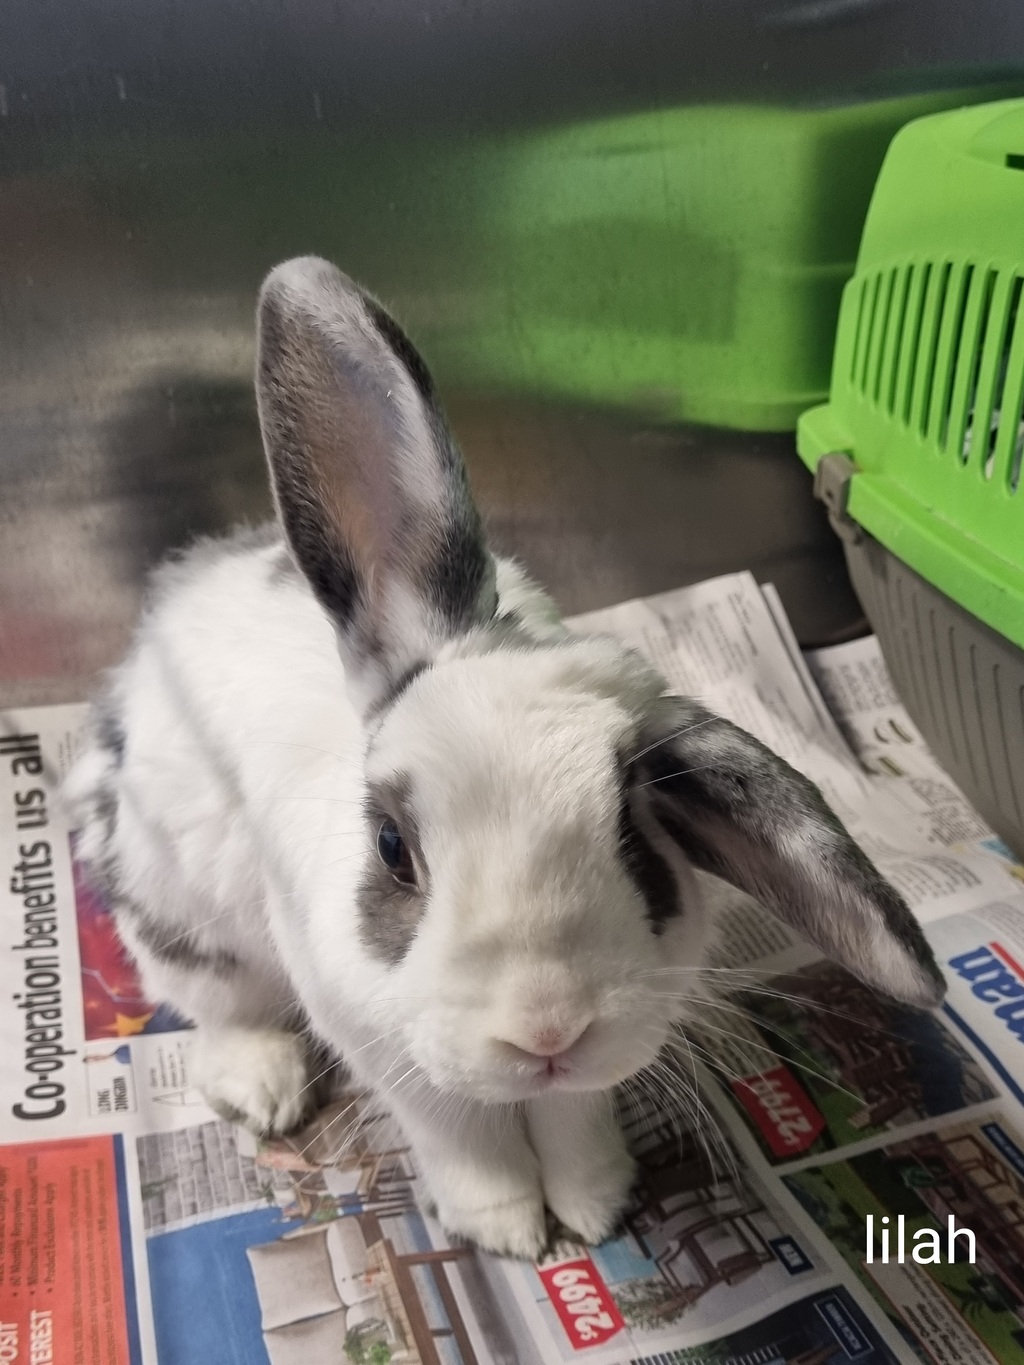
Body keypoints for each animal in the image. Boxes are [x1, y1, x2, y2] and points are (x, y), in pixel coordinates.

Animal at [64, 256, 945, 1259]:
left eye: (638, 841)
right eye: (392, 849)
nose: (546, 1029)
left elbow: (573, 1119)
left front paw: (596, 1207)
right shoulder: (381, 1041)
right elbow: (462, 1134)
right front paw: (507, 1232)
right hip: (174, 911)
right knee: (220, 1003)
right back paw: (264, 1088)